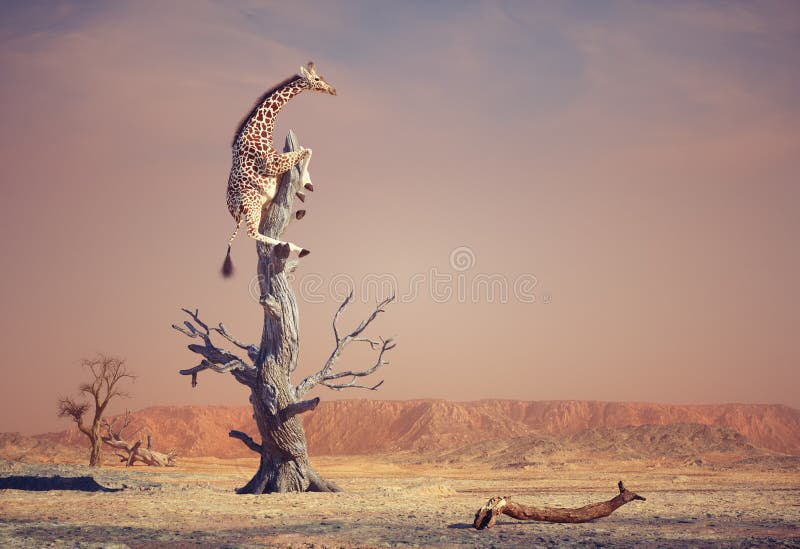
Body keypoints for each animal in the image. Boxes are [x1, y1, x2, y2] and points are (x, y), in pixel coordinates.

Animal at [222, 61, 337, 277]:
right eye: (317, 79)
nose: (333, 90)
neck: (260, 130)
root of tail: (233, 211)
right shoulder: (273, 165)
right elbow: (307, 150)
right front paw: (304, 184)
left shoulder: (278, 168)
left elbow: (303, 150)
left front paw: (305, 187)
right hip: (253, 205)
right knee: (252, 233)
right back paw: (298, 248)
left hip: (261, 207)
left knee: (262, 230)